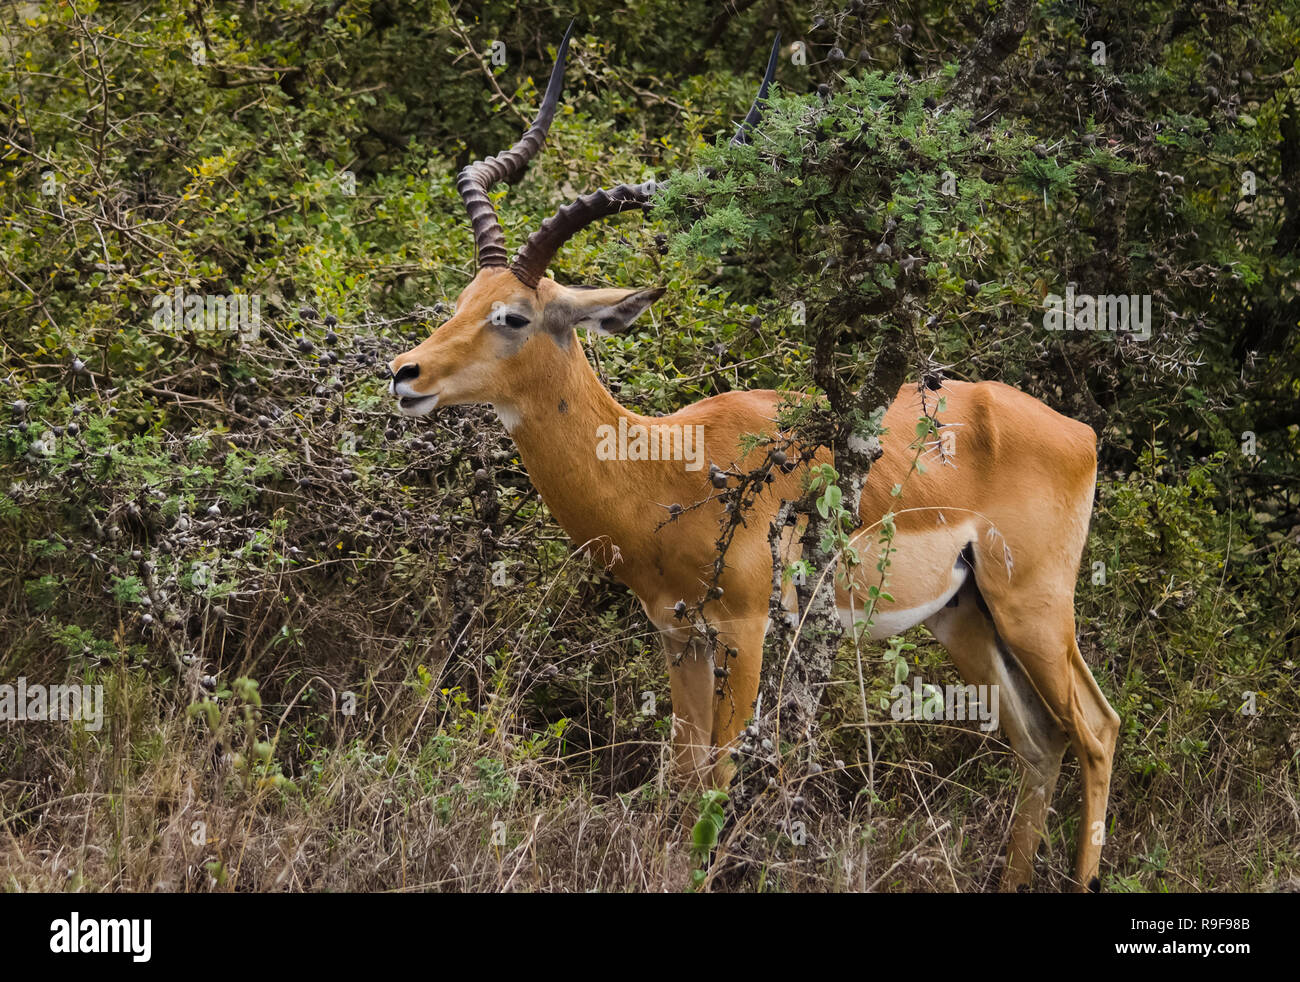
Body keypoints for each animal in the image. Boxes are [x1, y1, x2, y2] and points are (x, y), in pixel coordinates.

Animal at [388, 27, 1120, 892]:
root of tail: (1079, 433)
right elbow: (683, 771)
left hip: (1035, 607)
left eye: (512, 315)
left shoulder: (744, 631)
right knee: (1040, 741)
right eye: (463, 300)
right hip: (965, 616)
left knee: (1098, 729)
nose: (405, 373)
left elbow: (722, 773)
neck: (661, 467)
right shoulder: (677, 634)